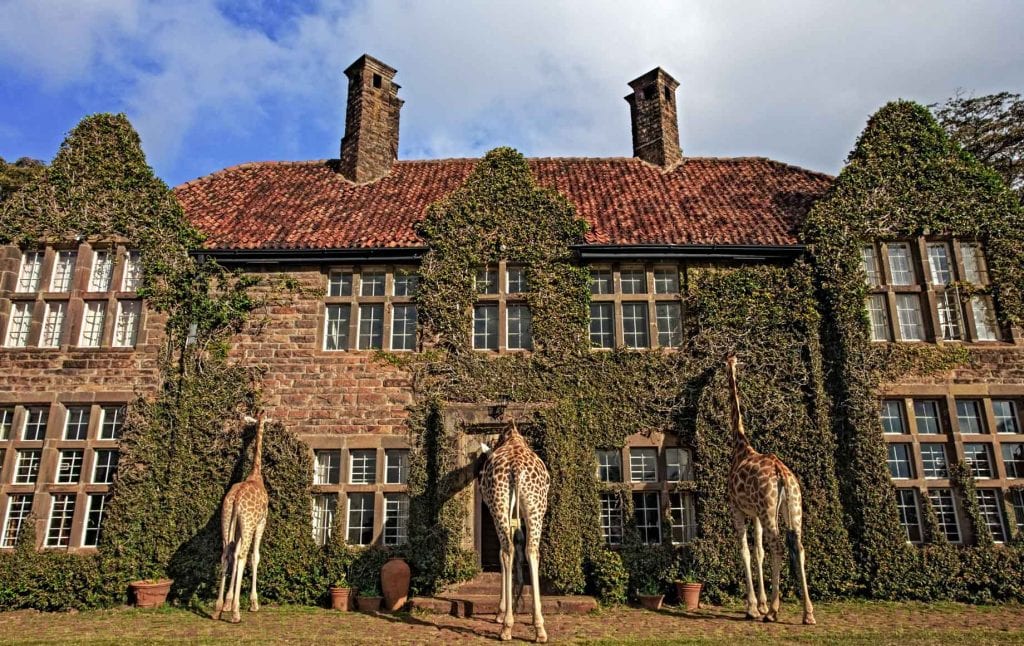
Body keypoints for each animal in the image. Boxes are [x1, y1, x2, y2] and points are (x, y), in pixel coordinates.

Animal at [213, 413, 270, 623]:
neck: (255, 474)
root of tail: (236, 498)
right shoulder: (261, 522)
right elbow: (255, 557)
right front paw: (252, 602)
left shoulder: (236, 527)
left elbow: (233, 555)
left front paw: (227, 602)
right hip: (249, 523)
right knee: (242, 555)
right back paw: (236, 612)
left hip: (227, 520)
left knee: (226, 554)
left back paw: (218, 609)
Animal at [478, 420, 550, 643]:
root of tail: (516, 468)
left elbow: (502, 554)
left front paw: (500, 613)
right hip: (536, 506)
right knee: (532, 551)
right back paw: (539, 628)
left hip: (499, 504)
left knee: (507, 550)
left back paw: (507, 627)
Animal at [724, 354, 815, 625]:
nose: (730, 361)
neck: (740, 446)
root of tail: (782, 474)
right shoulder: (754, 513)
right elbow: (758, 551)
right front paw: (761, 604)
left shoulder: (737, 507)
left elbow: (745, 550)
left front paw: (754, 607)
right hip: (793, 506)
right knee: (799, 547)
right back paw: (808, 613)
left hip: (768, 507)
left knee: (778, 546)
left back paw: (775, 611)